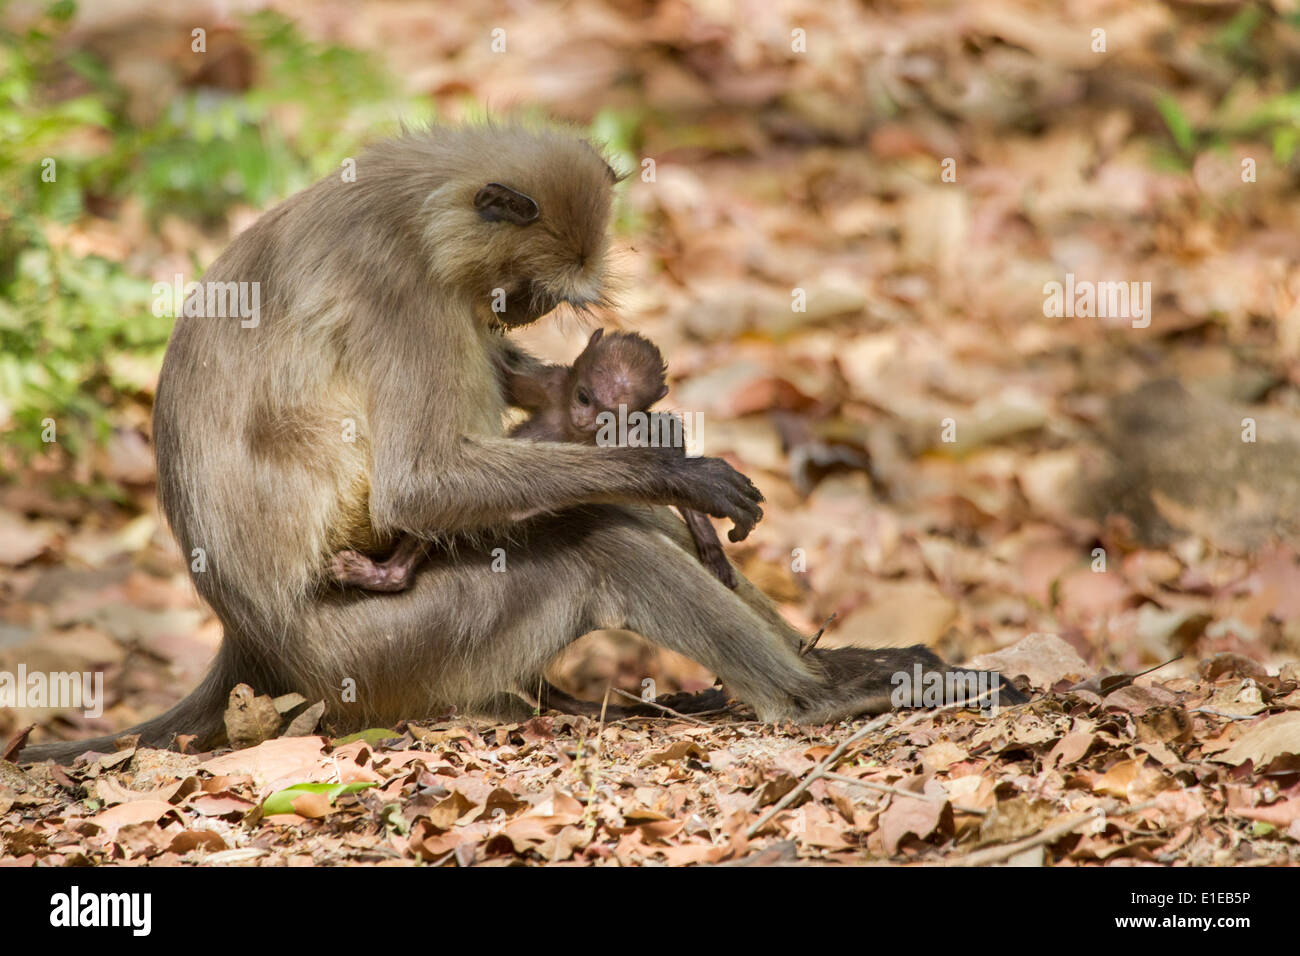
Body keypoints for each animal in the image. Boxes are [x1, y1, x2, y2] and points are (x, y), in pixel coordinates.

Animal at [329, 327, 738, 591]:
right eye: (584, 397)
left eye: (607, 414)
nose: (584, 419)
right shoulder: (553, 385)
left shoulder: (630, 432)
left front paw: (709, 538)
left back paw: (390, 577)